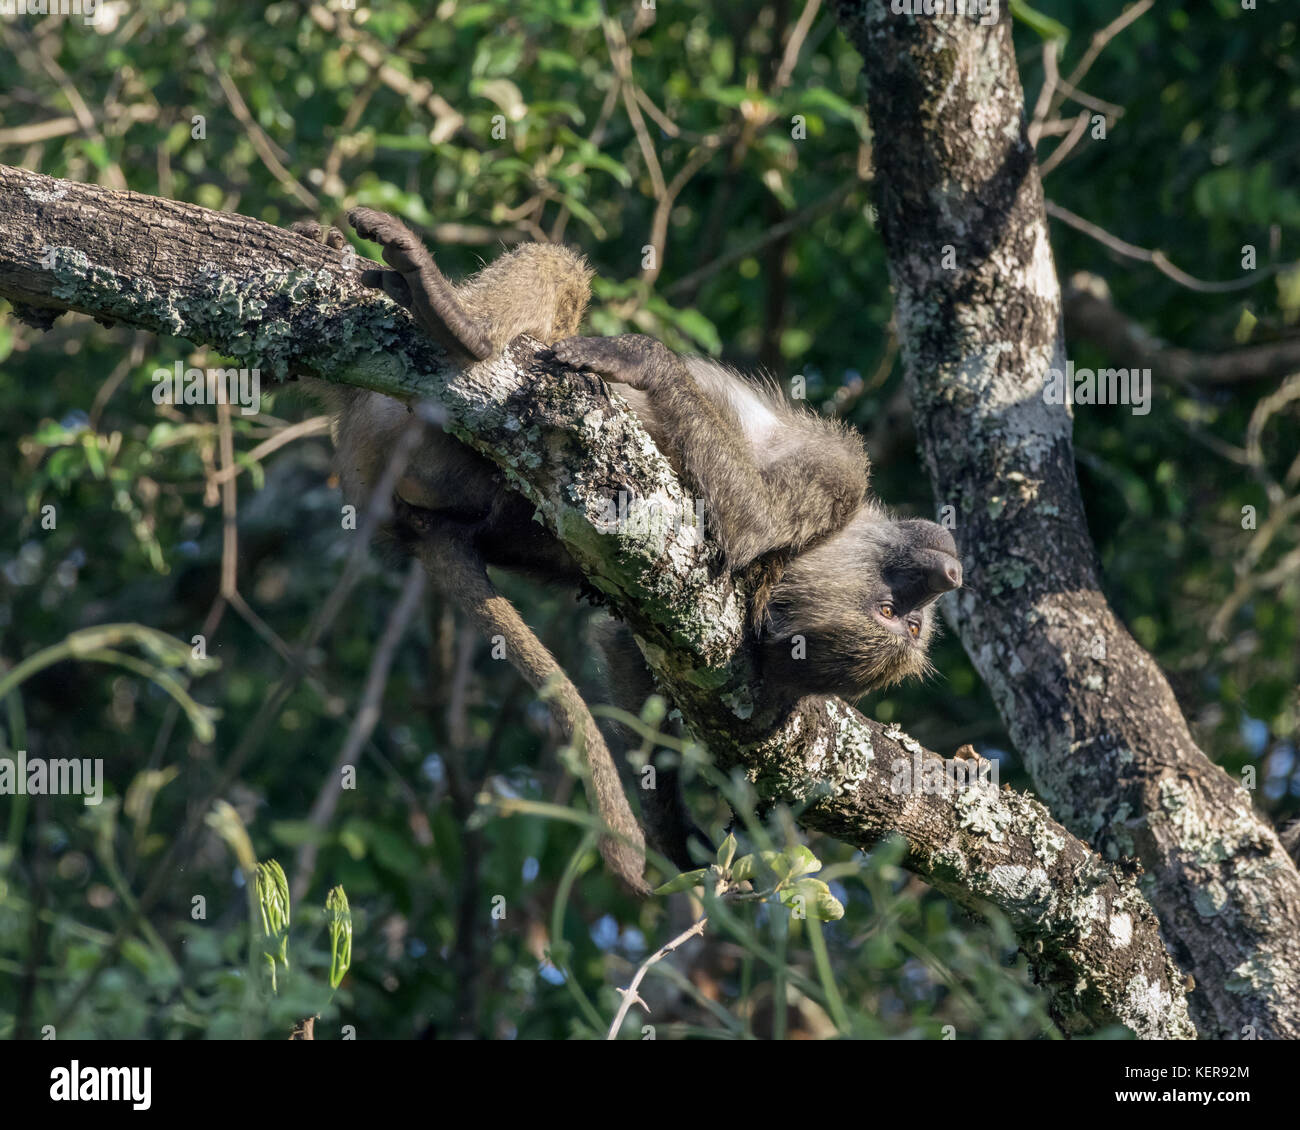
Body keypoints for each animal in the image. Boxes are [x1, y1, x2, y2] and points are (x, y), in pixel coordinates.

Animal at [295, 207, 961, 882]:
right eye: (897, 612)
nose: (947, 578)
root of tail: (408, 521)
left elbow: (742, 530)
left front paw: (645, 361)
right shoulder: (839, 475)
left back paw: (458, 326)